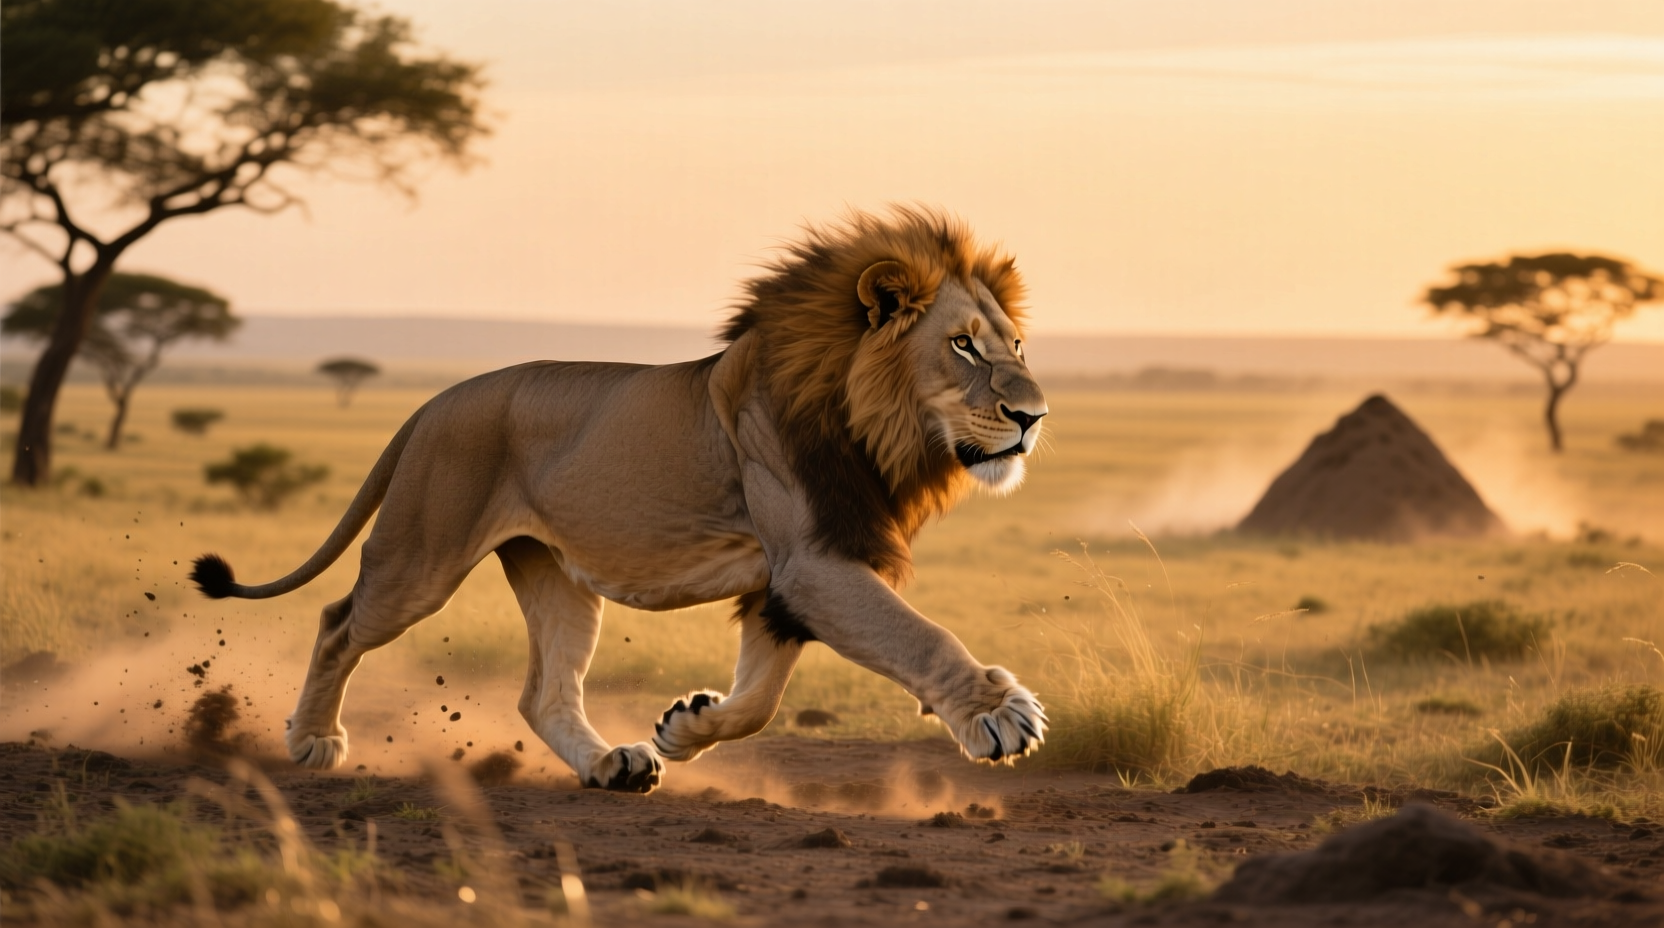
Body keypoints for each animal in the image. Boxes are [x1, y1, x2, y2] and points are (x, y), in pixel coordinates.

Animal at [190, 207, 1049, 792]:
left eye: (1015, 345)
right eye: (963, 346)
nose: (1034, 417)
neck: (874, 429)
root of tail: (435, 400)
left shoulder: (790, 579)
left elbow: (762, 698)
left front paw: (685, 726)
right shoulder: (812, 561)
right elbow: (917, 636)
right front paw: (997, 713)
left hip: (554, 574)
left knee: (543, 693)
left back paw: (612, 763)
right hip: (421, 557)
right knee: (338, 623)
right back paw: (312, 739)